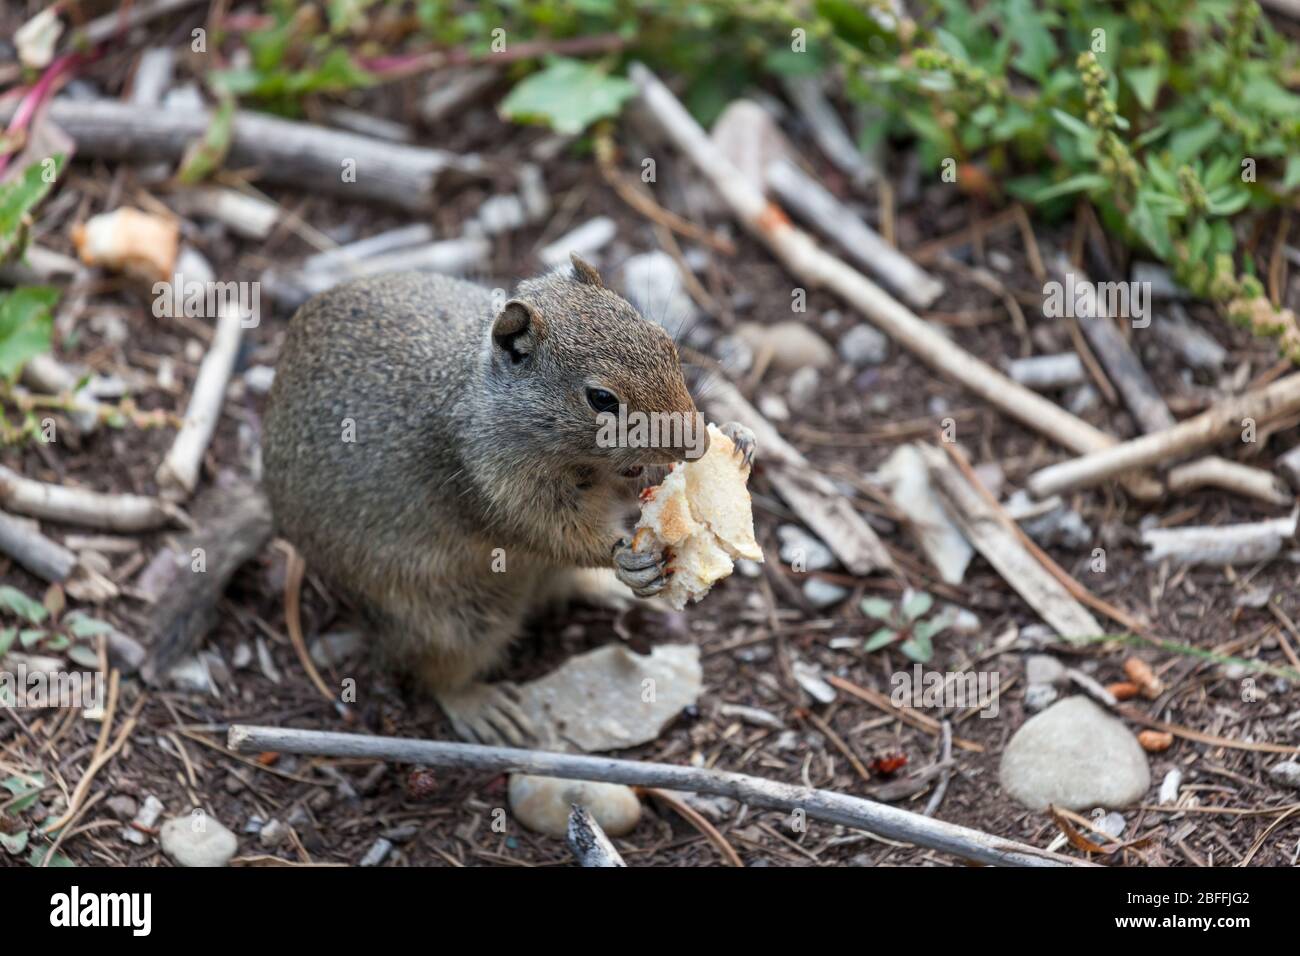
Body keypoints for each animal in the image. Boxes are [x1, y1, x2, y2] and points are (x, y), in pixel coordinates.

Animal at [262, 253, 755, 745]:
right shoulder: (498, 494)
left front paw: (738, 437)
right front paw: (625, 560)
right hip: (451, 620)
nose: (696, 445)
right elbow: (558, 535)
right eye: (601, 398)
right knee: (435, 671)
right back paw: (482, 708)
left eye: (666, 343)